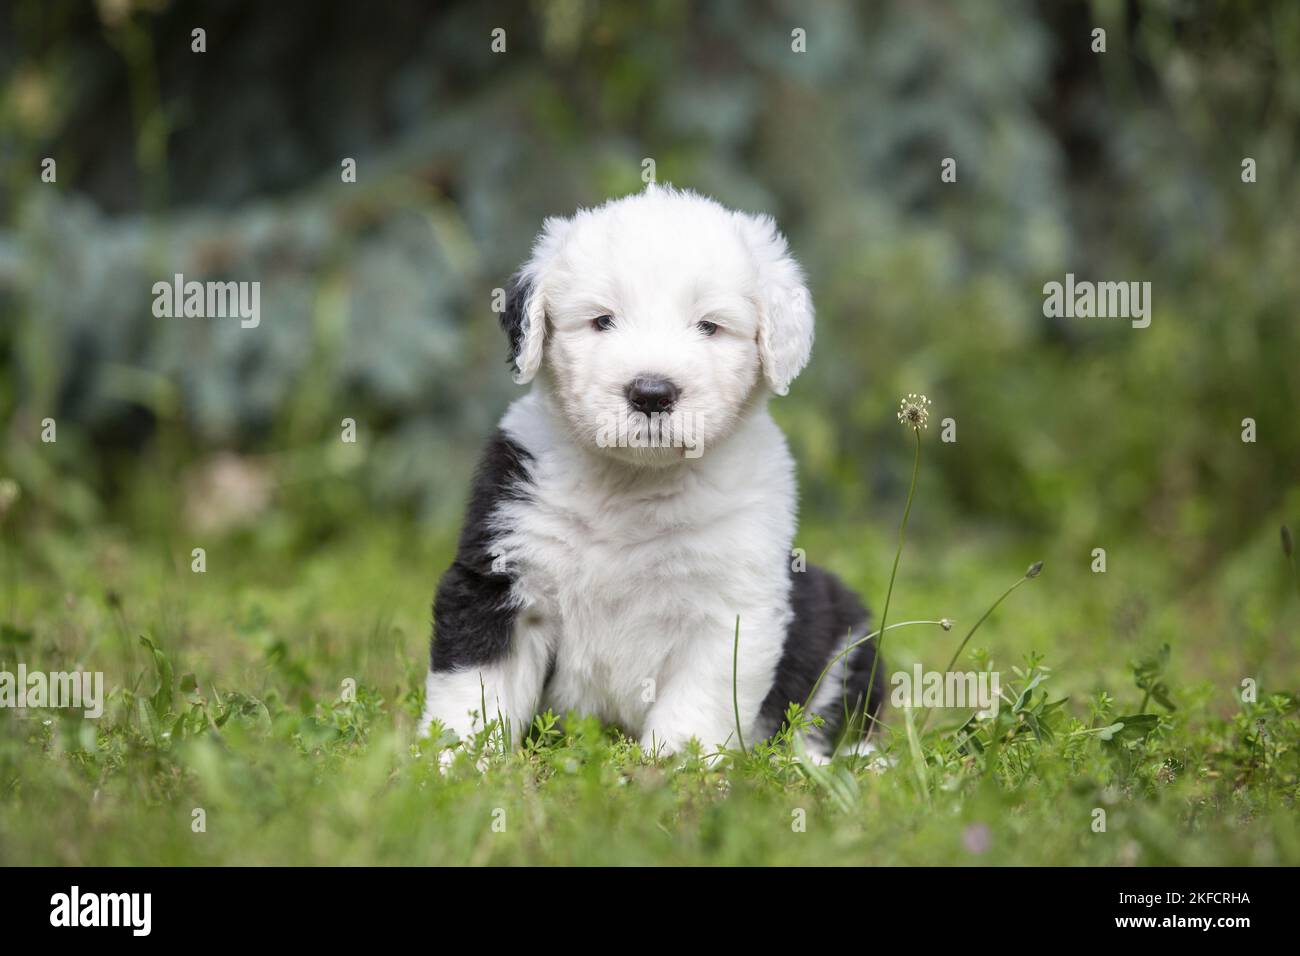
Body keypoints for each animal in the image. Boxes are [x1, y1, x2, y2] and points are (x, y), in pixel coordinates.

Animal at [418, 183, 883, 759]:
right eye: (602, 320)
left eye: (709, 325)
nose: (652, 393)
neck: (634, 483)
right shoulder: (500, 576)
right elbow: (476, 686)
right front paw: (452, 762)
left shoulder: (731, 609)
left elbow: (694, 705)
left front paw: (671, 768)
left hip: (845, 634)